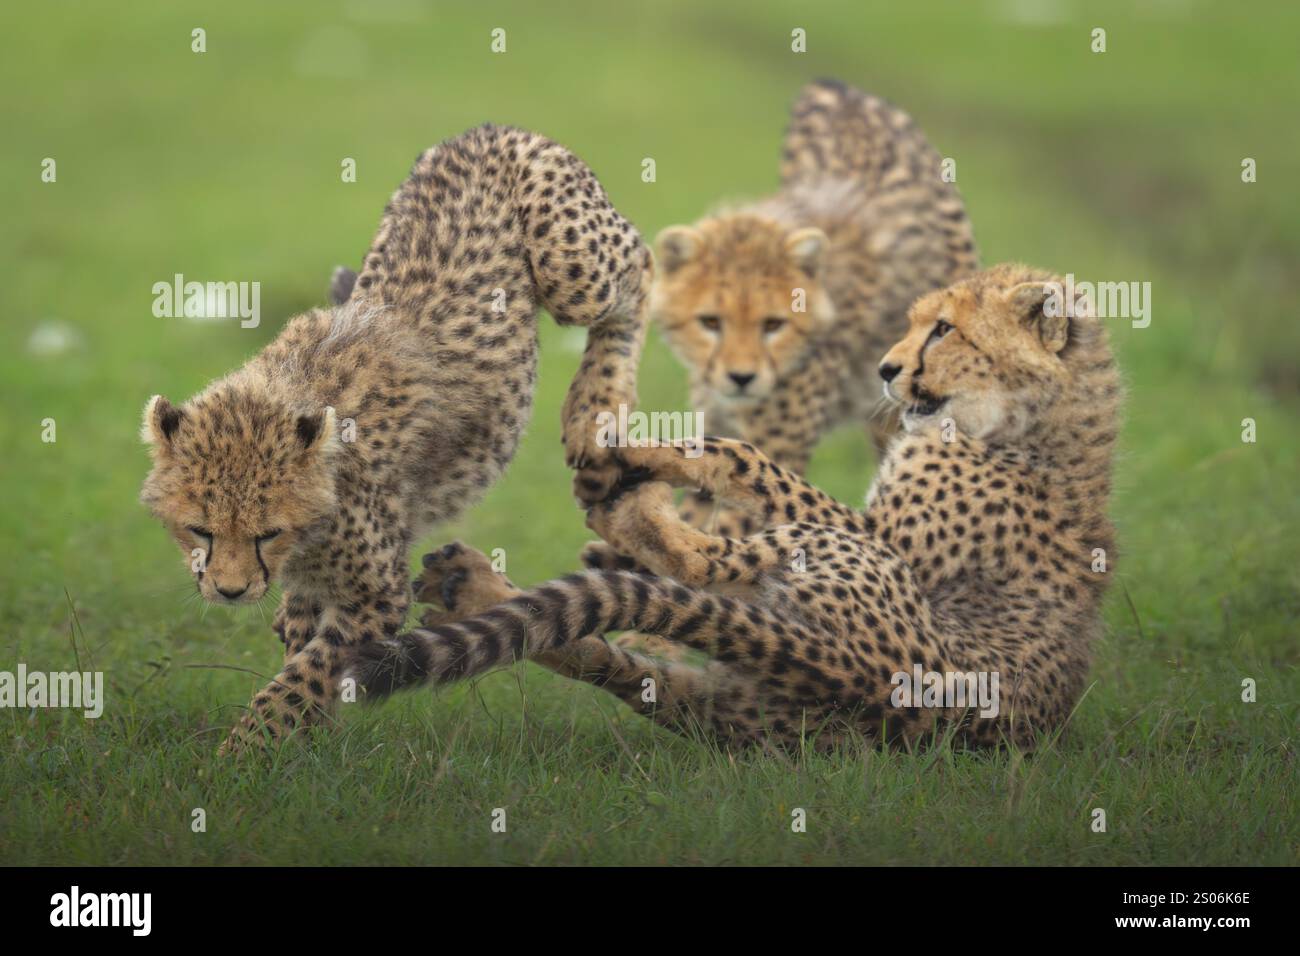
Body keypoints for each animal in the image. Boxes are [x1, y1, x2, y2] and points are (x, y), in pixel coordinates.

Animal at [139, 123, 653, 755]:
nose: (230, 592)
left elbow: (303, 676)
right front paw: (303, 743)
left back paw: (597, 401)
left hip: (571, 268)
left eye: (267, 531)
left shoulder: (378, 596)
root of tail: (487, 129)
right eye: (200, 529)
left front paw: (245, 752)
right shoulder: (310, 587)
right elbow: (300, 651)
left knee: (644, 267)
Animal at [349, 263, 1123, 751]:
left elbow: (744, 457)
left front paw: (640, 452)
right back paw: (475, 587)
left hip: (841, 574)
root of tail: (872, 685)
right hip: (733, 703)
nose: (886, 369)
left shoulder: (887, 541)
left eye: (945, 330)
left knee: (701, 568)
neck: (1040, 419)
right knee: (624, 662)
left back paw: (615, 515)